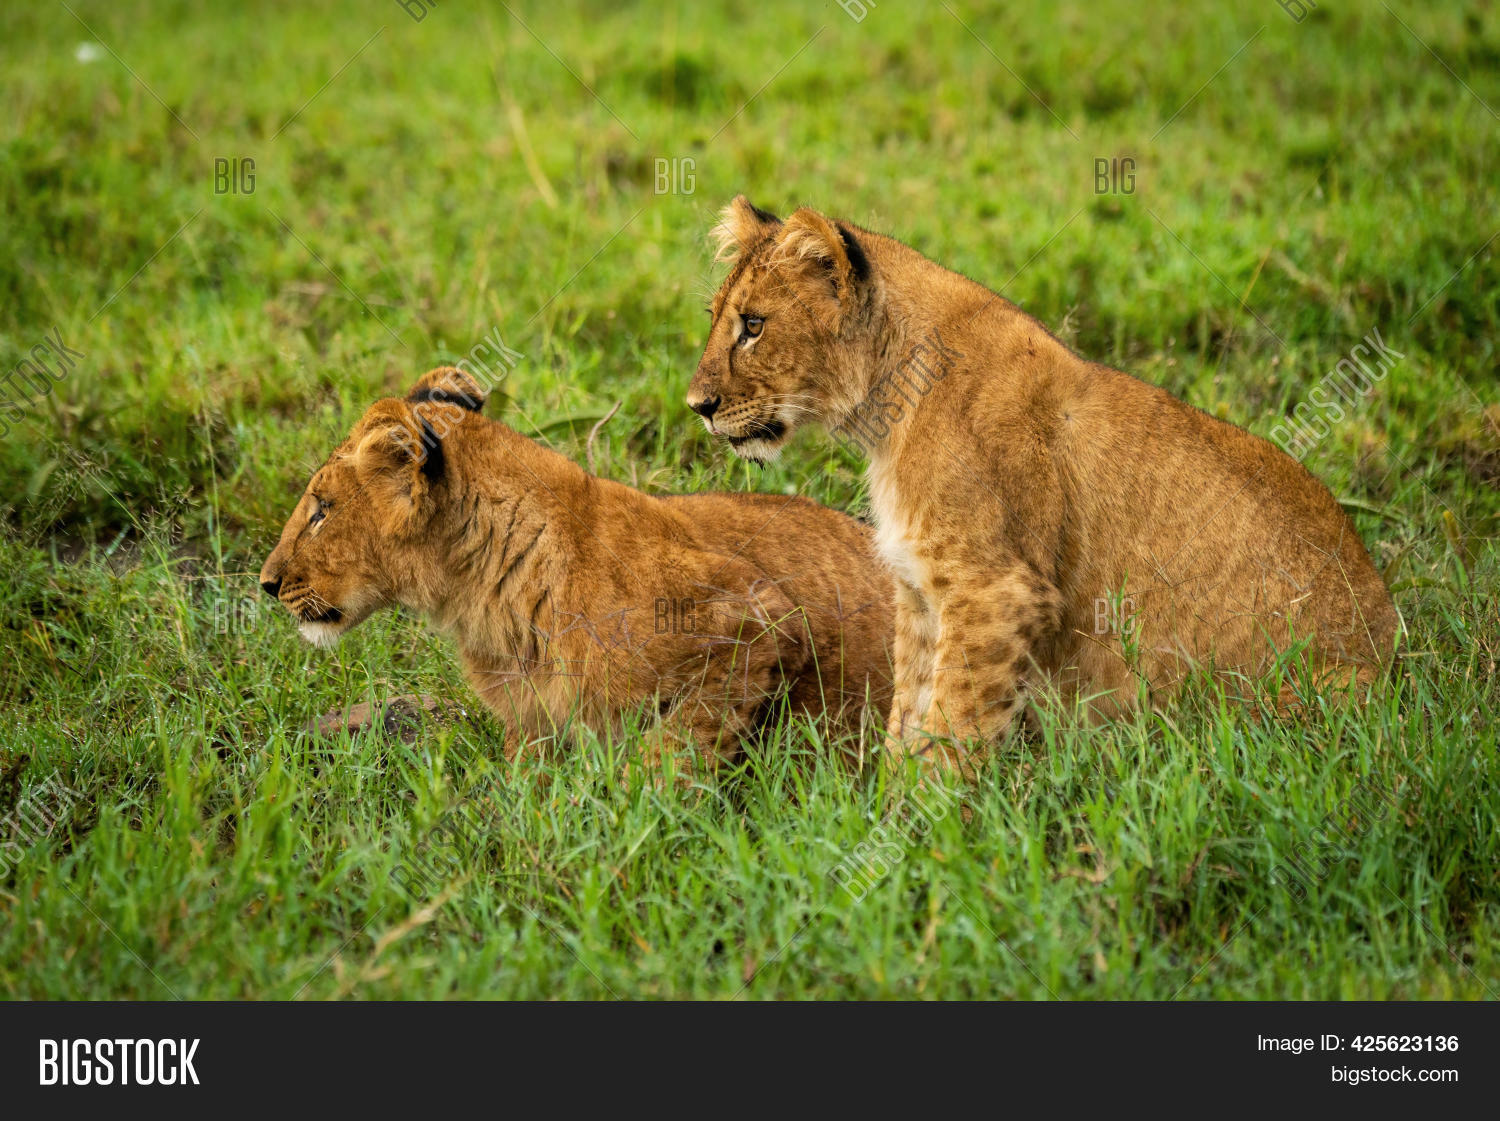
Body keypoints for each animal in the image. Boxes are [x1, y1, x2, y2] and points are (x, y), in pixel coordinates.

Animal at [259, 367, 894, 776]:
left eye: (321, 510)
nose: (267, 584)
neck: (486, 596)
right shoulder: (532, 724)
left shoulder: (754, 618)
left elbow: (670, 756)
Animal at [687, 196, 1400, 773]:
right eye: (717, 316)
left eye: (754, 325)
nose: (697, 406)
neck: (884, 411)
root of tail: (1392, 648)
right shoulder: (921, 594)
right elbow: (907, 718)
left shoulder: (997, 590)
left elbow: (950, 733)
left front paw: (918, 841)